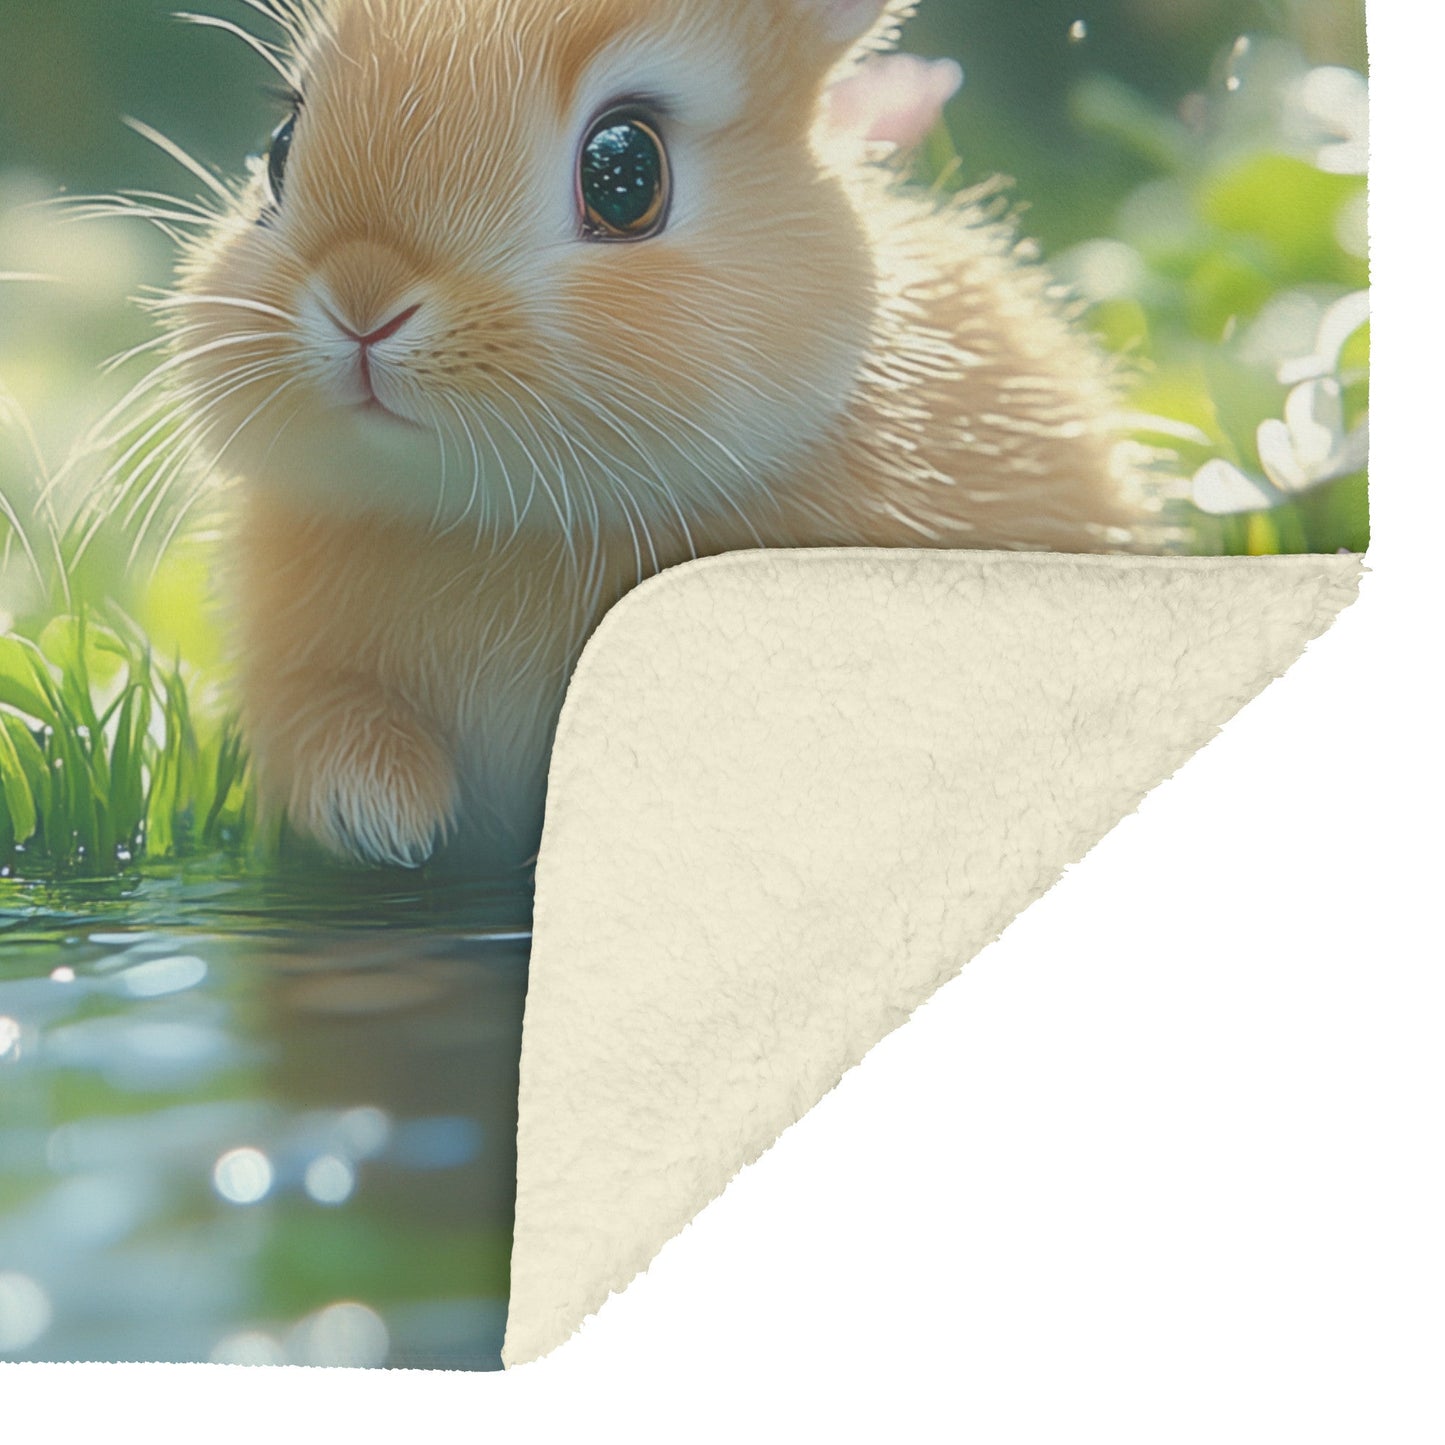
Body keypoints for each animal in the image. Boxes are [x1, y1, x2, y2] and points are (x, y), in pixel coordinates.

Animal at [159, 0, 1162, 870]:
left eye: (624, 172)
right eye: (281, 148)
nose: (363, 297)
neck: (504, 522)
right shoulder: (304, 680)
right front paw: (389, 821)